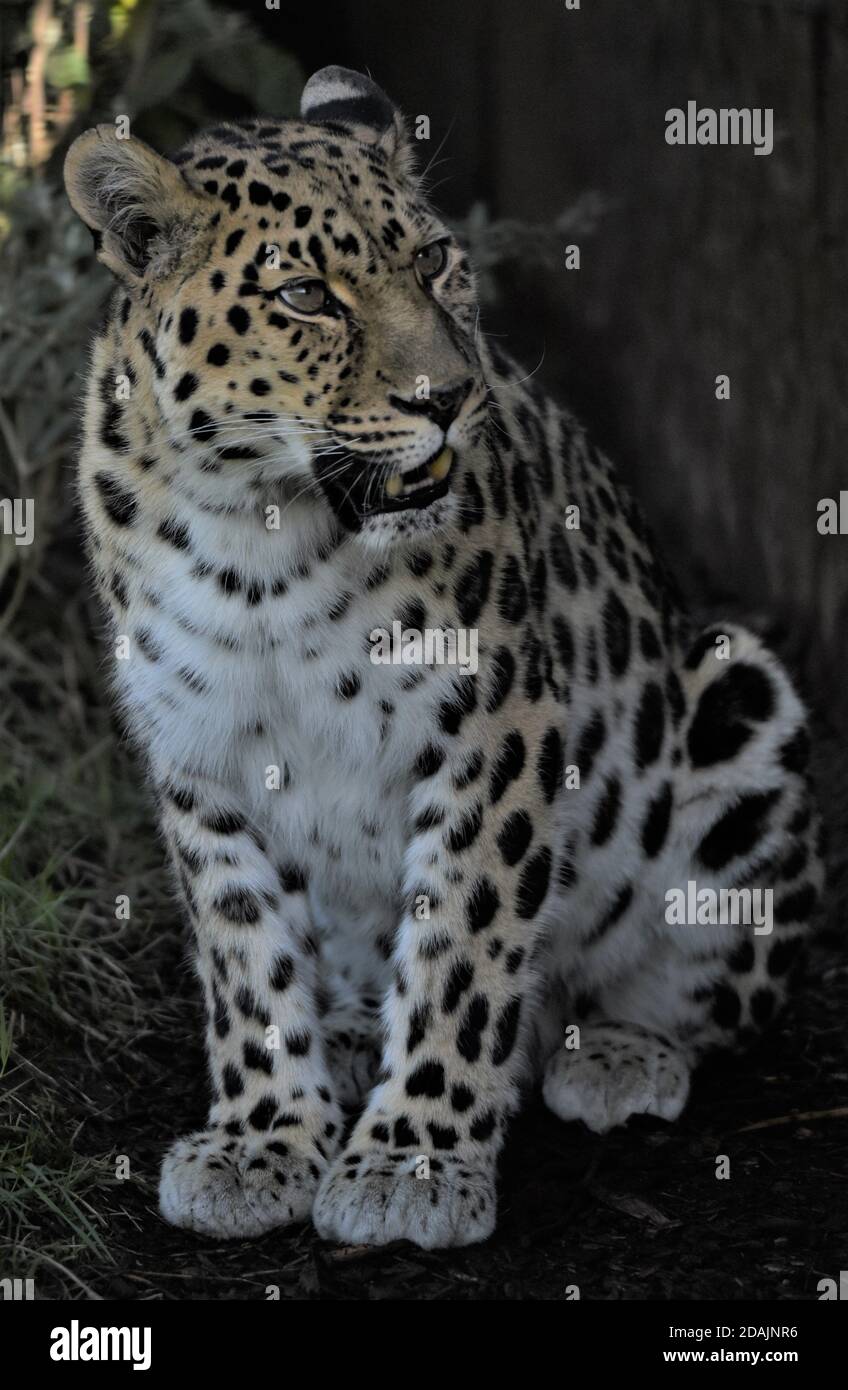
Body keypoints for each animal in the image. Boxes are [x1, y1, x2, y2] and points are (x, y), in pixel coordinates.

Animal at [64, 65, 824, 1249]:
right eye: (305, 297)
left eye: (430, 261)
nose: (448, 397)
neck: (258, 536)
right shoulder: (200, 753)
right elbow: (244, 956)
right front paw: (260, 1139)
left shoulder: (493, 724)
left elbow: (463, 946)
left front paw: (411, 1160)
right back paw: (344, 1040)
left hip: (734, 694)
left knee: (693, 996)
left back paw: (615, 1054)